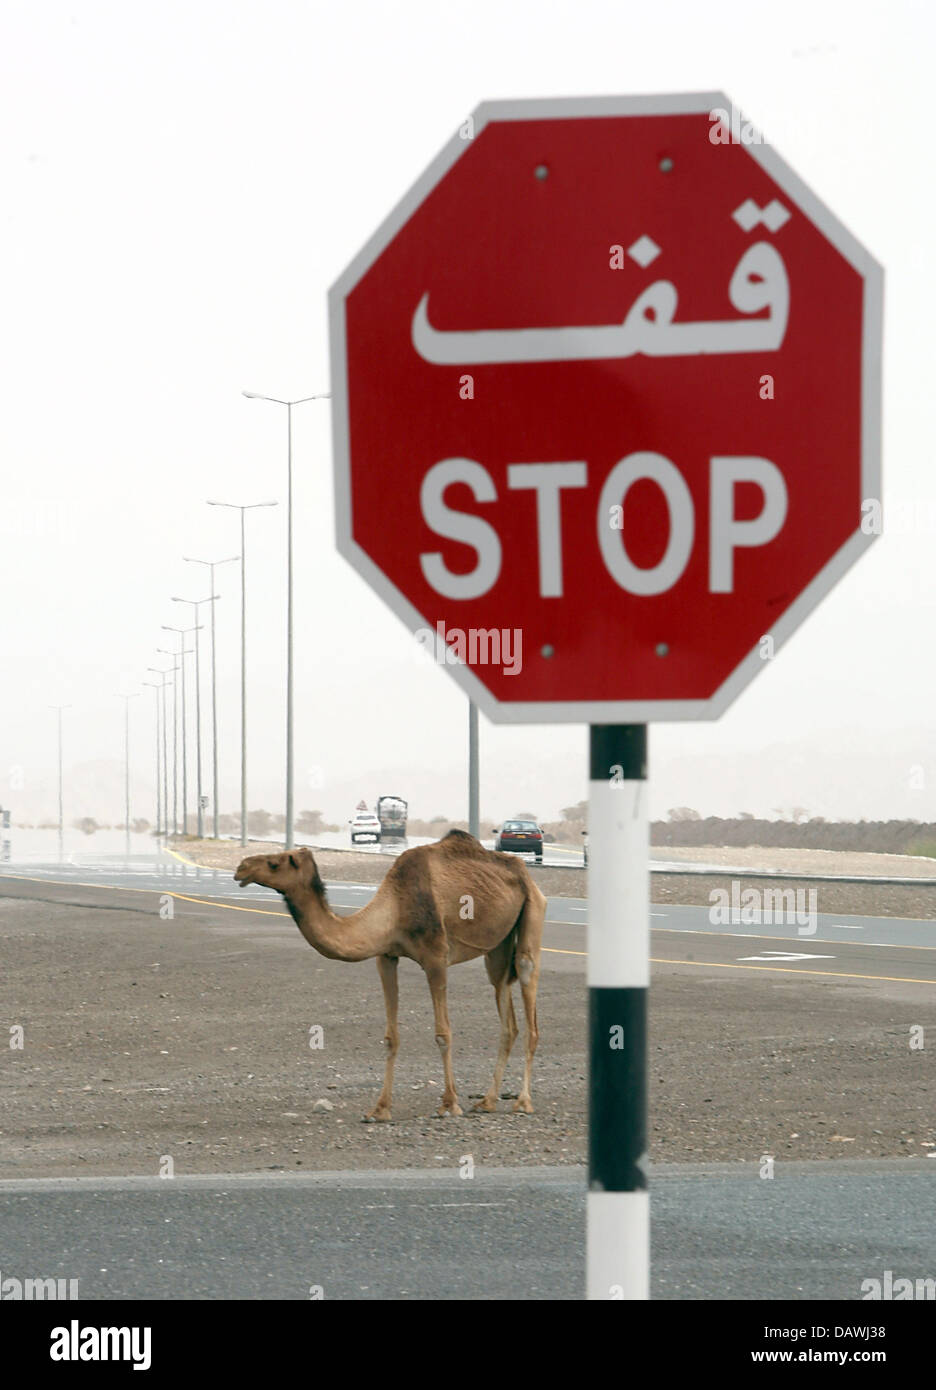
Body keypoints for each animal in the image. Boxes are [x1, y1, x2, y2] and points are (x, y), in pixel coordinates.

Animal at [234, 830, 546, 1121]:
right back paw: (488, 1101)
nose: (241, 868)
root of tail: (525, 874)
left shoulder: (436, 957)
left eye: (274, 863)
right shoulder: (386, 957)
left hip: (532, 913)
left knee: (528, 996)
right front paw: (380, 1109)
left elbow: (443, 1033)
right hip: (497, 949)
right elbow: (390, 1037)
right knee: (506, 1015)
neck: (394, 909)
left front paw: (449, 1104)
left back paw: (523, 1102)